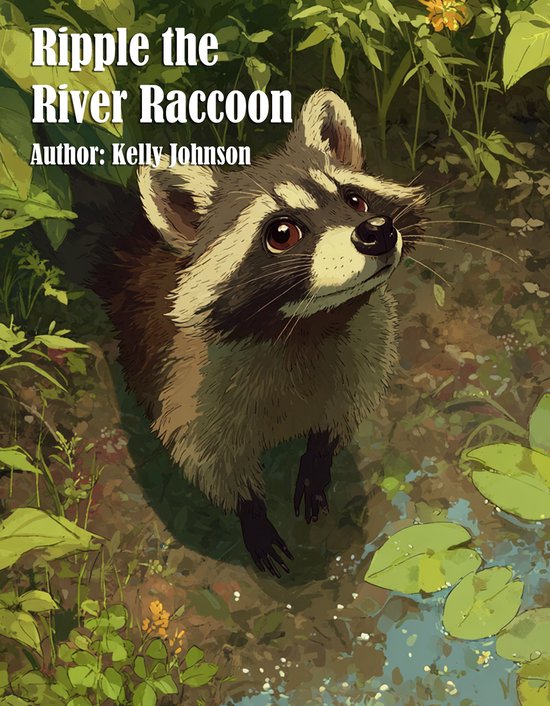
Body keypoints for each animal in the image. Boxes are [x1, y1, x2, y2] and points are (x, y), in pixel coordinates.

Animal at [102, 90, 425, 577]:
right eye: (282, 232)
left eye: (354, 200)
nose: (377, 233)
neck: (310, 324)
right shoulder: (190, 384)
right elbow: (210, 460)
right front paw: (252, 515)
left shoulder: (365, 351)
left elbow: (338, 420)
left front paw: (317, 462)